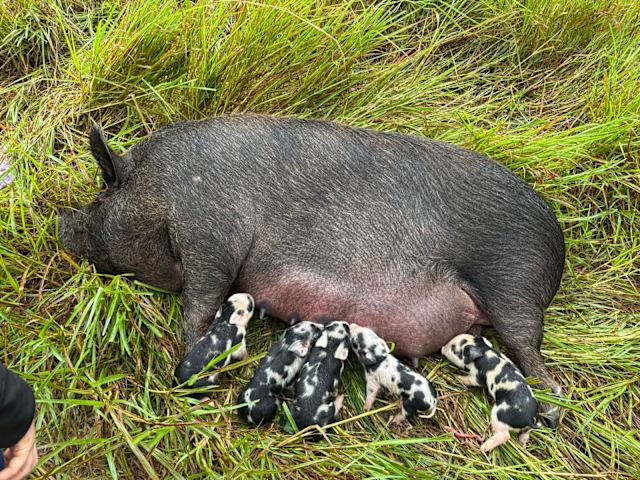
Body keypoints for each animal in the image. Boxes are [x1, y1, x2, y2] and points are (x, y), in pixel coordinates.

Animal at [58, 115, 564, 426]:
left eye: (103, 192)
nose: (61, 220)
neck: (159, 191)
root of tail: (557, 243)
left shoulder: (211, 235)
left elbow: (198, 305)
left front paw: (196, 367)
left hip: (512, 282)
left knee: (528, 349)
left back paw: (552, 406)